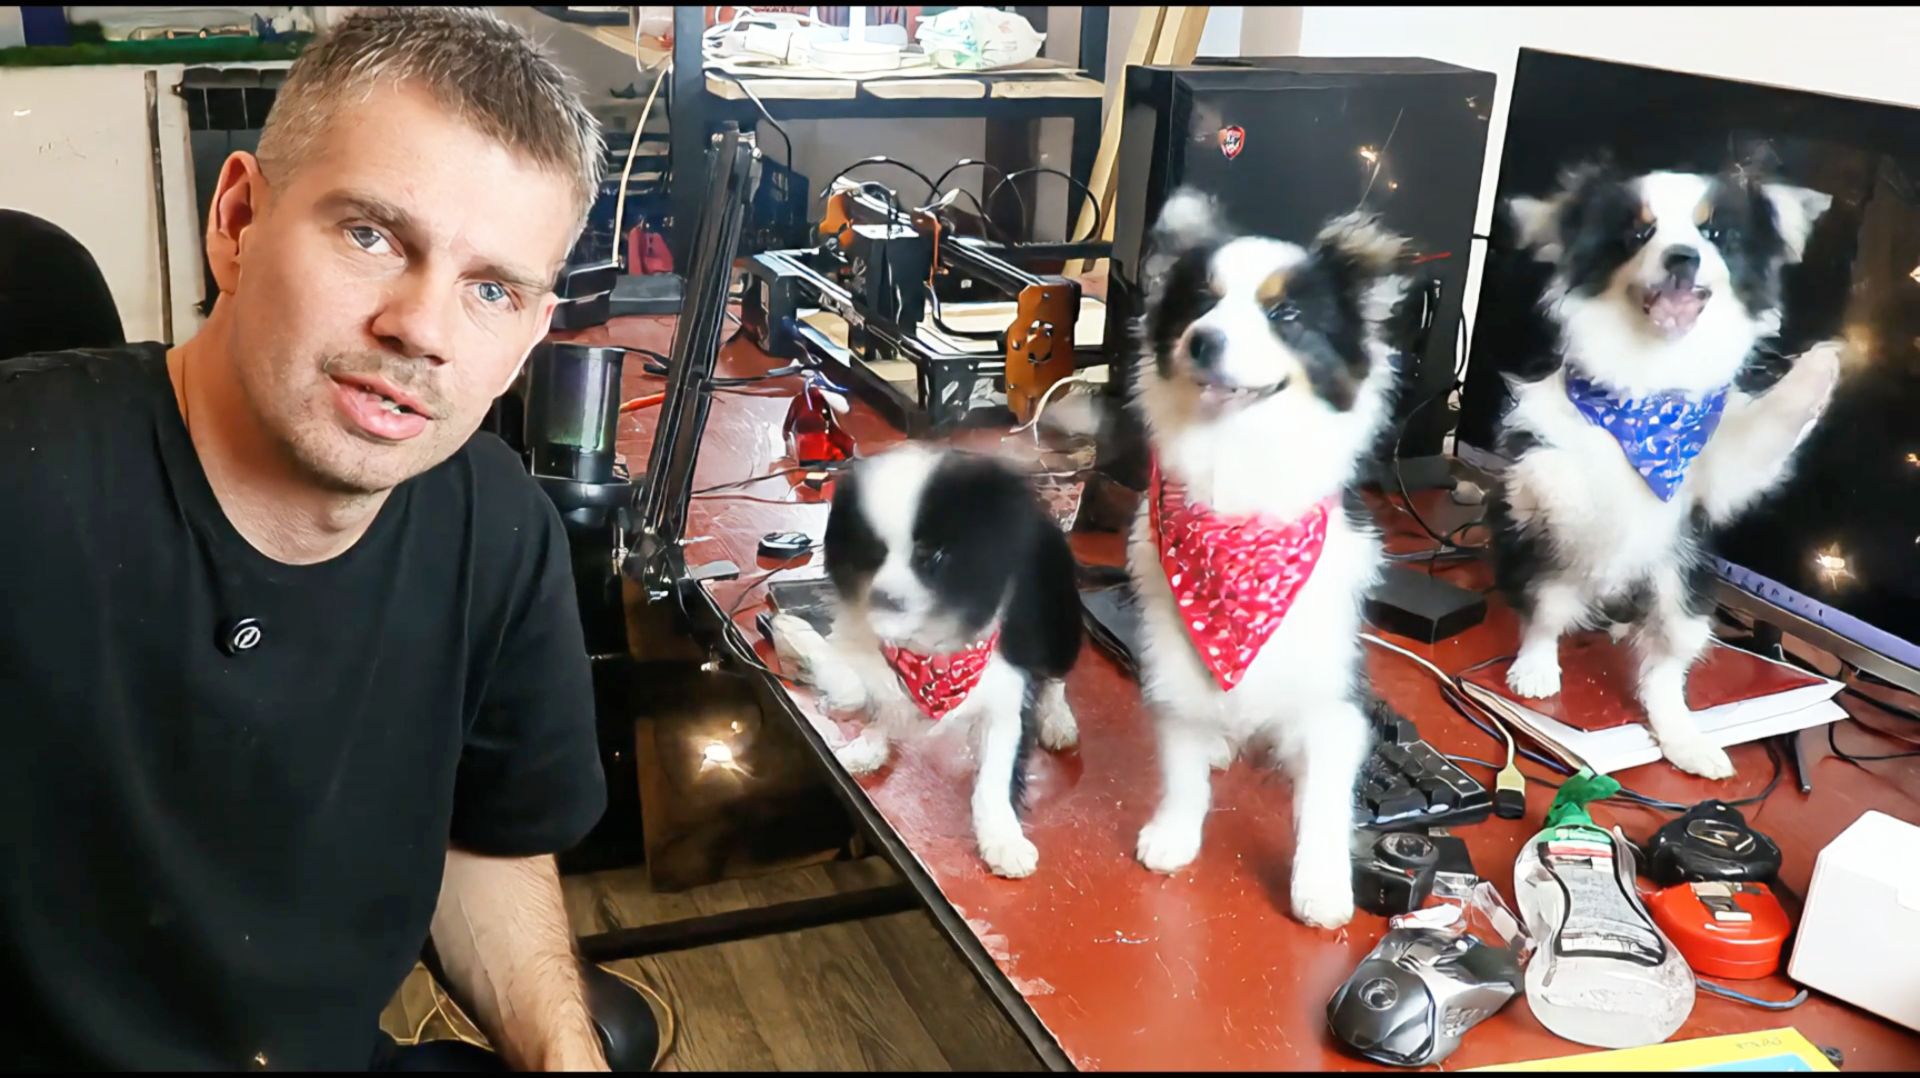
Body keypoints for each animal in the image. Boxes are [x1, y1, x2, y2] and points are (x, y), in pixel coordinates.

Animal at [769, 444, 1083, 878]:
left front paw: (1003, 839)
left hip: (1060, 627)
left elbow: (994, 776)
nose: (885, 598)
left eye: (934, 557)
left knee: (1055, 677)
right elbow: (857, 687)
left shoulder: (1006, 697)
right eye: (870, 555)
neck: (929, 653)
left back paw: (1057, 719)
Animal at [1125, 188, 1410, 929]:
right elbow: (1183, 765)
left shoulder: (1333, 697)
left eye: (1285, 315)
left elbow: (1325, 804)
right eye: (1201, 302)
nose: (1203, 340)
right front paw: (1173, 832)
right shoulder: (1174, 662)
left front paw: (1322, 886)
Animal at [1489, 162, 1842, 779]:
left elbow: (1767, 430)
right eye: (1638, 235)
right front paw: (1561, 495)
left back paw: (1684, 737)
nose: (1682, 257)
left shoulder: (1722, 467)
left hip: (1684, 593)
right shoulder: (1536, 430)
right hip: (1545, 575)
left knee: (1663, 670)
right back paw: (1535, 669)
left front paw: (1818, 368)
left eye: (1715, 234)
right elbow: (1553, 474)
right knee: (1544, 615)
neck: (1653, 385)